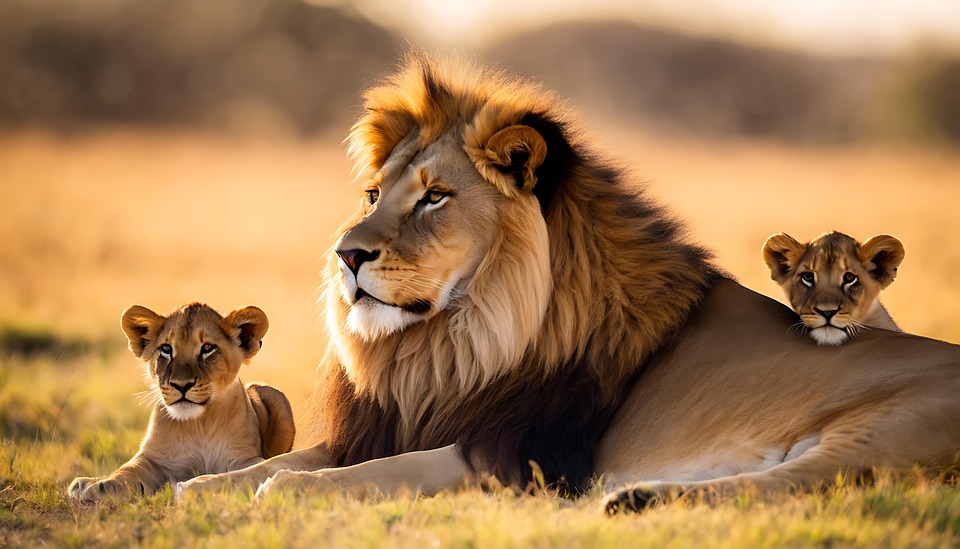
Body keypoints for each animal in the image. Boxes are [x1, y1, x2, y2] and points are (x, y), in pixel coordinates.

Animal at [68, 303, 295, 502]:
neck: (199, 424)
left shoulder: (242, 458)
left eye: (207, 348)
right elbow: (129, 468)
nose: (181, 384)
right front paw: (97, 485)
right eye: (166, 349)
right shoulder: (155, 459)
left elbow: (257, 467)